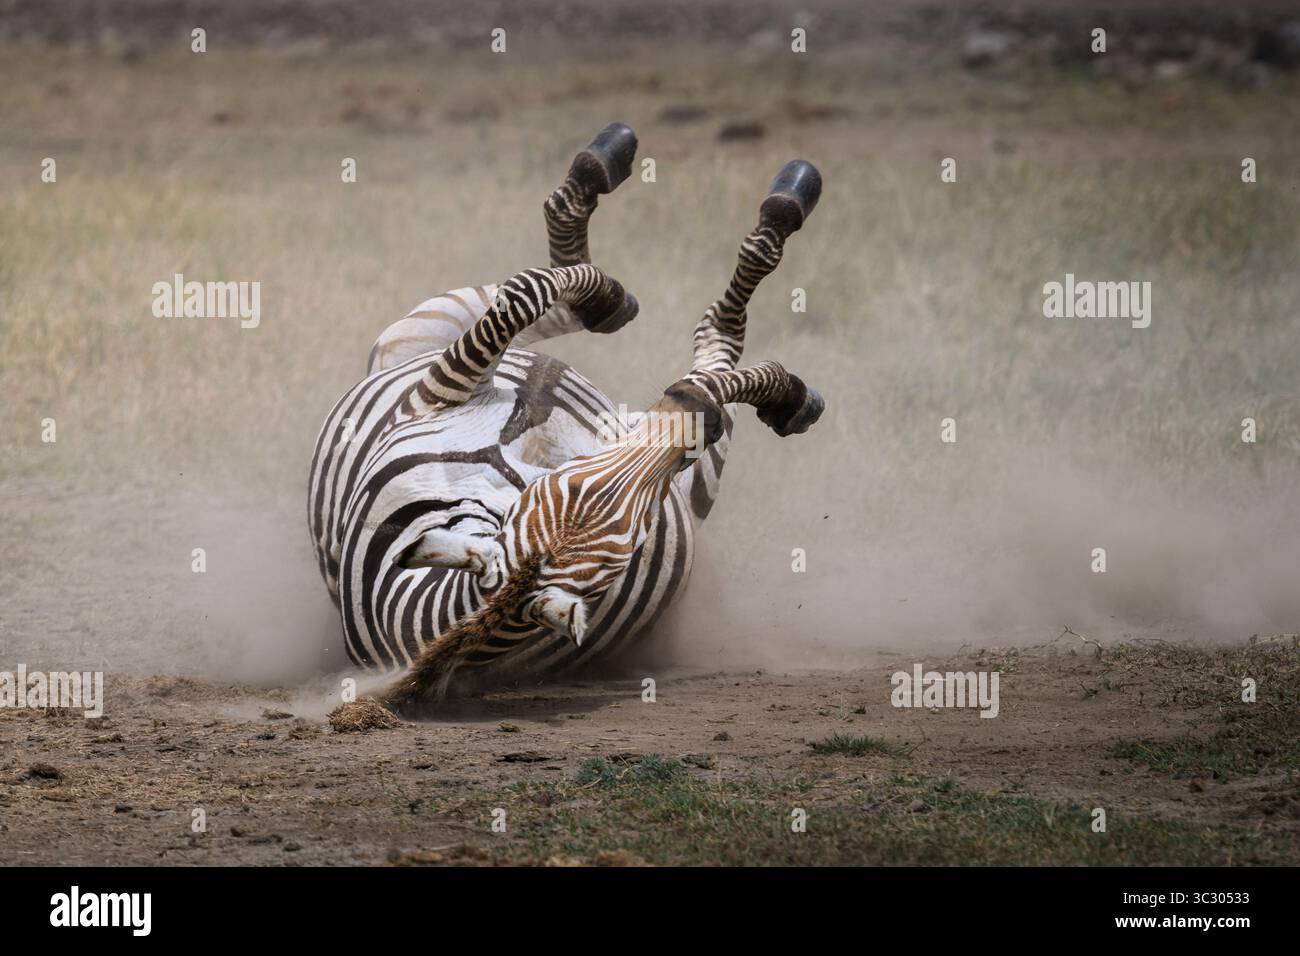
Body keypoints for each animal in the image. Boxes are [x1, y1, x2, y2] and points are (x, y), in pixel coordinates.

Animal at [308, 123, 825, 709]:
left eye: (547, 486)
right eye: (636, 537)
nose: (686, 413)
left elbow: (524, 291)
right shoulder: (437, 394)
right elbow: (527, 293)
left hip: (425, 334)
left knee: (552, 289)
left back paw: (600, 193)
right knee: (715, 337)